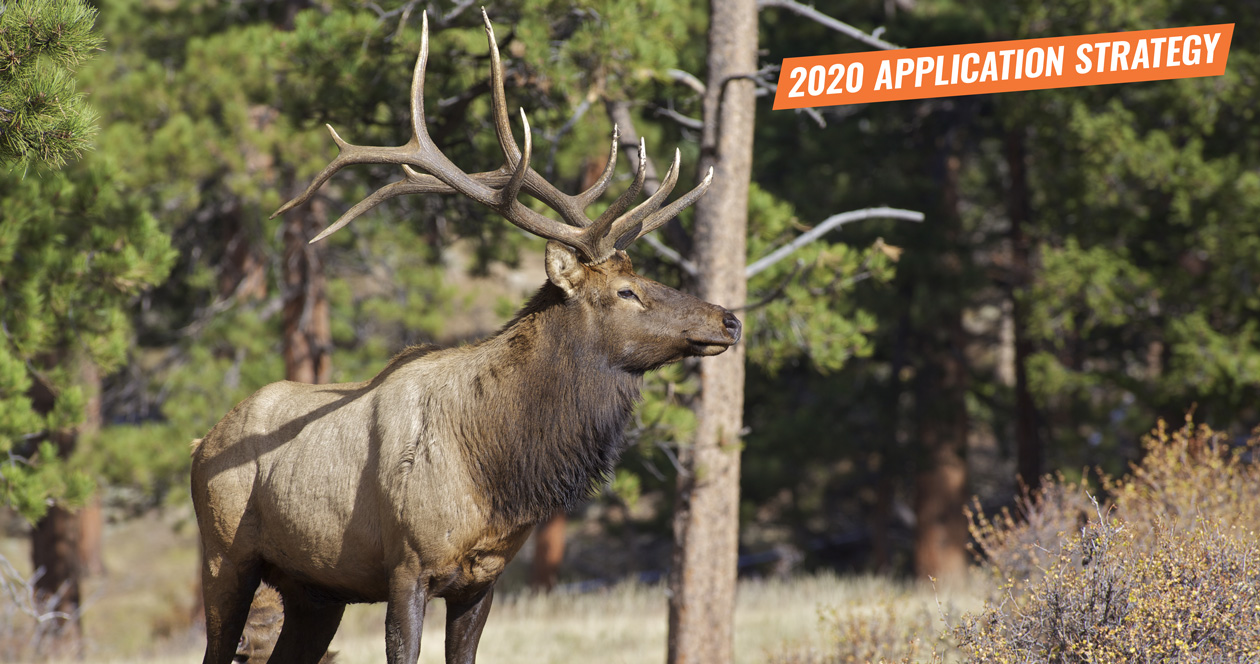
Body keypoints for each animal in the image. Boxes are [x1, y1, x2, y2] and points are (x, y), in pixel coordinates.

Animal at [190, 10, 740, 664]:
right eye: (627, 292)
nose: (728, 319)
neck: (500, 470)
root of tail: (200, 444)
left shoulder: (484, 577)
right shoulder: (407, 567)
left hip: (315, 590)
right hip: (225, 557)